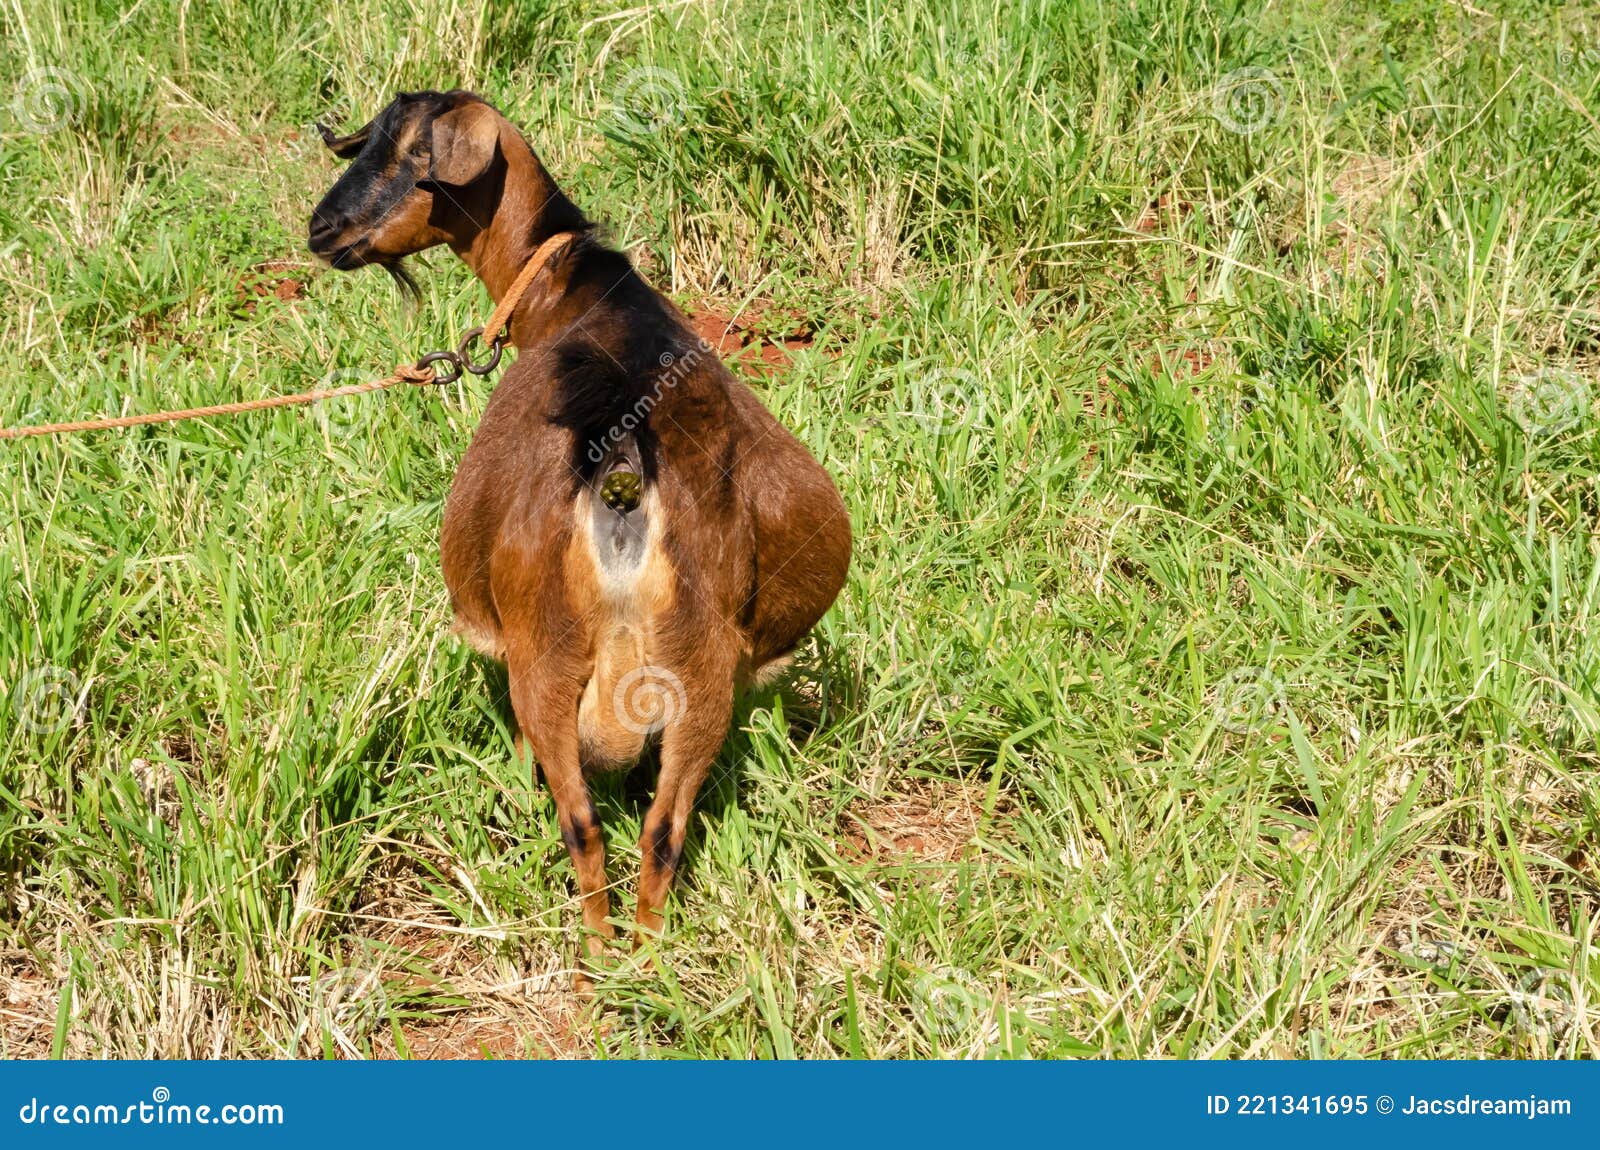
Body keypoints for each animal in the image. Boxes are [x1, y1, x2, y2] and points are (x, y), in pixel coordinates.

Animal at [307, 90, 851, 987]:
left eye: (412, 156)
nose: (321, 230)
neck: (575, 291)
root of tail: (623, 462)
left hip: (546, 653)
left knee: (583, 823)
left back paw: (595, 959)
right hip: (701, 666)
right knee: (662, 830)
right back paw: (646, 963)